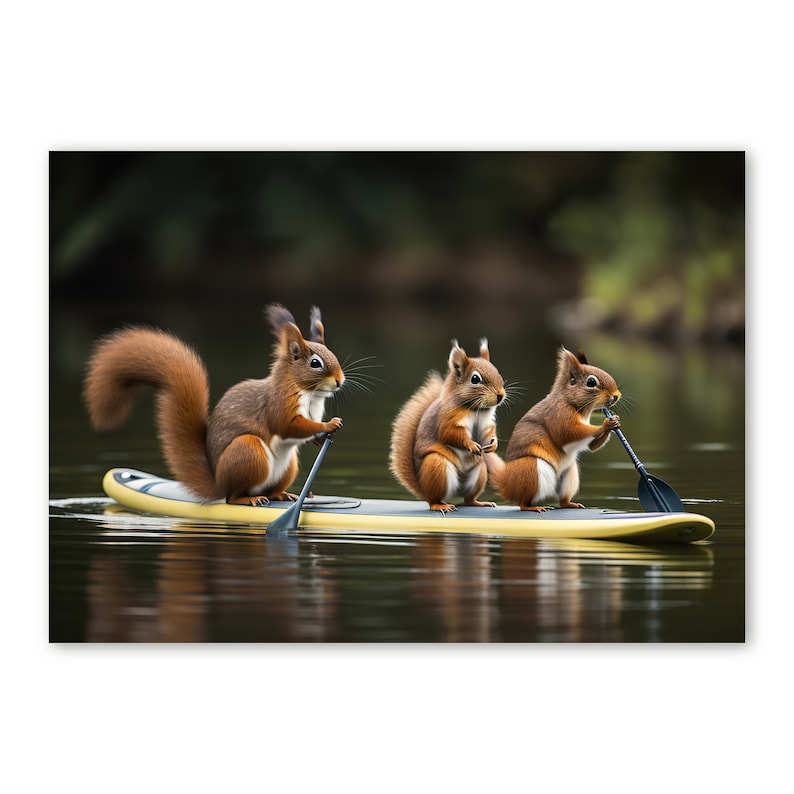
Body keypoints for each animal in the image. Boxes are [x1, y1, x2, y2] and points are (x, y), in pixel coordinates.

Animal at [83, 303, 345, 506]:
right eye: (315, 363)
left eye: (331, 353)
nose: (340, 381)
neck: (311, 395)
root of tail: (218, 483)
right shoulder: (279, 405)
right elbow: (289, 426)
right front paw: (330, 425)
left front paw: (325, 434)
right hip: (247, 451)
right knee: (232, 497)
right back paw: (247, 499)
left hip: (288, 466)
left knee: (268, 491)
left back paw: (282, 494)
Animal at [389, 339, 506, 513]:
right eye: (475, 379)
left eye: (497, 372)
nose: (500, 395)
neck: (476, 410)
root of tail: (423, 488)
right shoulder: (447, 419)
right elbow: (449, 434)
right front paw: (471, 444)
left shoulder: (486, 422)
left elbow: (487, 434)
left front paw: (493, 444)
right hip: (437, 466)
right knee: (433, 499)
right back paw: (439, 505)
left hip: (480, 471)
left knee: (468, 500)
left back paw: (479, 502)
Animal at [489, 346, 621, 512]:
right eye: (591, 382)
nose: (616, 396)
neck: (571, 402)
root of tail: (507, 485)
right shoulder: (558, 415)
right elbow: (569, 434)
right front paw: (606, 423)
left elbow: (591, 446)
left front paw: (615, 421)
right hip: (530, 470)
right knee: (523, 503)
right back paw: (533, 507)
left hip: (569, 475)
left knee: (562, 500)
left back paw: (570, 504)